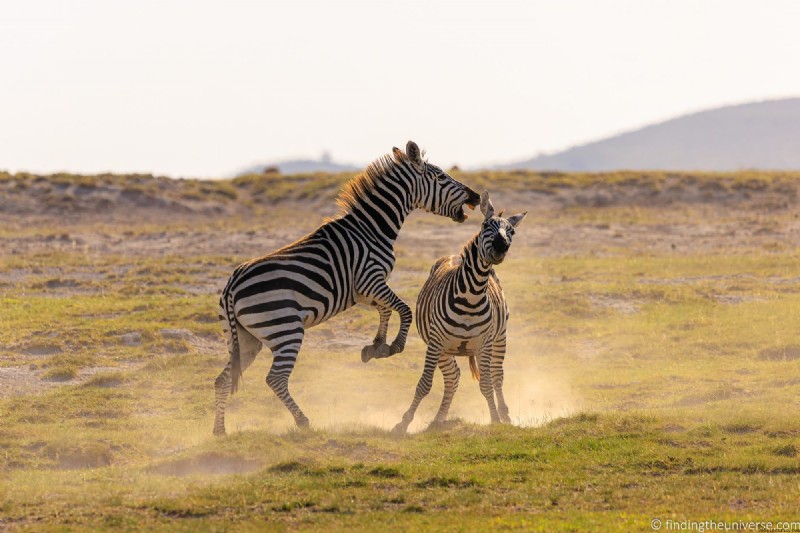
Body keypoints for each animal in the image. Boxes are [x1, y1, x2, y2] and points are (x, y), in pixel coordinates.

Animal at [209, 142, 482, 436]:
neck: (371, 229)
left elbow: (386, 310)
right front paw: (395, 345)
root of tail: (232, 285)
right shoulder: (370, 279)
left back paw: (219, 430)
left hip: (244, 339)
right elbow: (404, 309)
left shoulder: (363, 290)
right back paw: (303, 422)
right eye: (441, 177)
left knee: (222, 379)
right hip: (285, 329)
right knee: (275, 379)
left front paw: (377, 346)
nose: (476, 196)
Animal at [392, 190, 524, 432]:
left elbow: (486, 383)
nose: (501, 247)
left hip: (500, 337)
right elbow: (424, 384)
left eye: (512, 231)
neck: (472, 296)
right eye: (485, 225)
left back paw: (505, 414)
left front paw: (495, 419)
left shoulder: (484, 343)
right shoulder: (435, 343)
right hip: (444, 349)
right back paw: (438, 419)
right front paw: (403, 423)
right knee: (453, 377)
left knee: (497, 376)